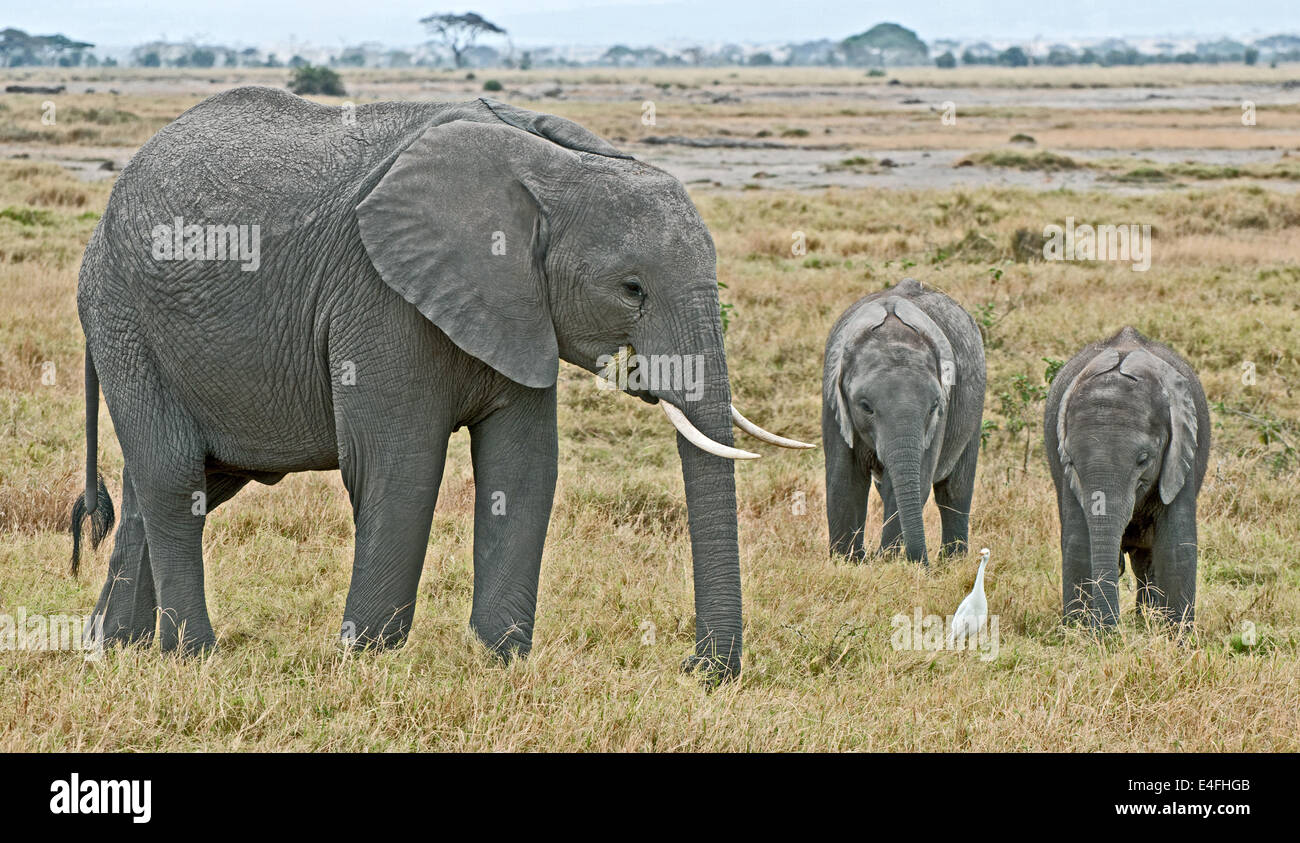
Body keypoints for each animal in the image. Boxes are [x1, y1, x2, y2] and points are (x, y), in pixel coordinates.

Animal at [71, 87, 806, 676]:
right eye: (632, 289)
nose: (697, 668)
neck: (553, 165)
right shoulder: (378, 294)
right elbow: (400, 467)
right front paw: (366, 657)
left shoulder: (518, 305)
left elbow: (524, 469)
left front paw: (500, 657)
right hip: (124, 320)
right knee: (175, 480)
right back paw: (193, 655)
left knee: (178, 483)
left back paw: (112, 648)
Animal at [821, 279, 982, 562]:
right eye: (866, 407)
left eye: (934, 407)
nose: (923, 564)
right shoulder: (834, 404)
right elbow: (844, 481)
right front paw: (847, 562)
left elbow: (911, 482)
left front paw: (887, 563)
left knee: (954, 491)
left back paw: (952, 563)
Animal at [1040, 326, 1211, 629]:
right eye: (1071, 461)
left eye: (1143, 460)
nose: (1109, 631)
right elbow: (1078, 542)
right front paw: (1078, 632)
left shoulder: (1181, 455)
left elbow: (1176, 546)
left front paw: (1178, 636)